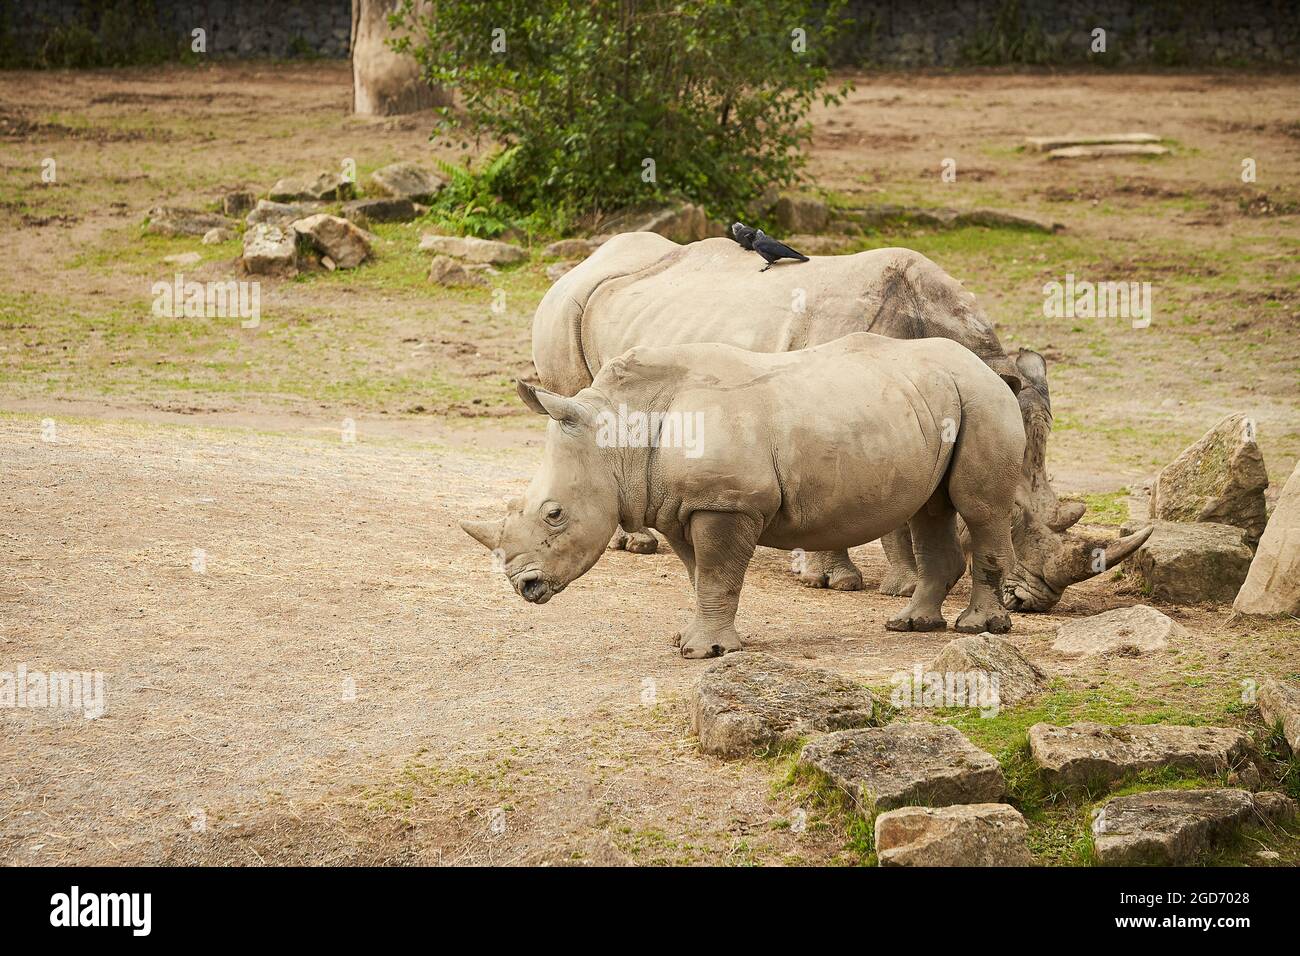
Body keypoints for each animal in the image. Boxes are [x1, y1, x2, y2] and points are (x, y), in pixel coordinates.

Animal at [461, 333, 1025, 657]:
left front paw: (705, 653)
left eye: (554, 514)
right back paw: (911, 625)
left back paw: (977, 628)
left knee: (979, 508)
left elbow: (718, 575)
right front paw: (693, 641)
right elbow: (700, 575)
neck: (618, 431)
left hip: (982, 398)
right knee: (930, 509)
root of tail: (988, 367)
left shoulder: (725, 502)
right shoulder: (680, 505)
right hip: (932, 401)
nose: (524, 586)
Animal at [531, 232, 1151, 610]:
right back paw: (635, 545)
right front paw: (845, 582)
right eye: (1013, 514)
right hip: (562, 307)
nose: (1037, 600)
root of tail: (589, 259)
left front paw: (901, 584)